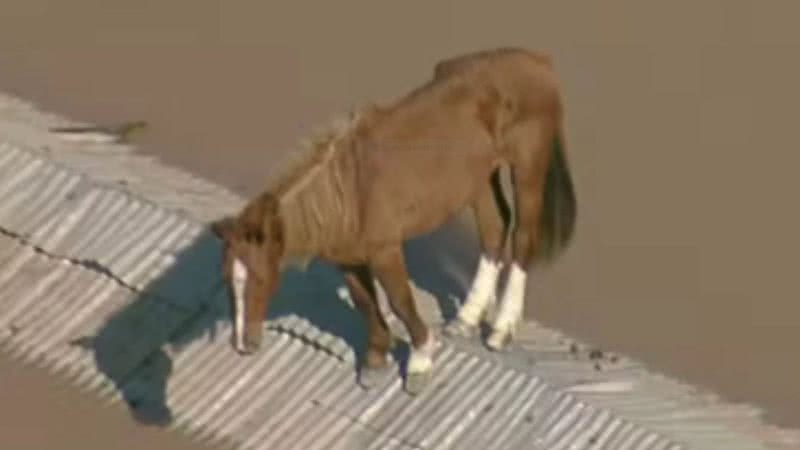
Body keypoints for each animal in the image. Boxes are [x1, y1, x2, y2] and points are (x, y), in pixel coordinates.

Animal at [210, 47, 577, 395]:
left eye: (259, 278)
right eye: (227, 280)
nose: (242, 345)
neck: (348, 193)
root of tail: (537, 60)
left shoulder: (386, 251)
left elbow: (400, 302)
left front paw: (419, 362)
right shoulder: (348, 259)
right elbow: (365, 304)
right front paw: (375, 362)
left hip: (527, 168)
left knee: (523, 238)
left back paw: (500, 330)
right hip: (479, 179)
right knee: (494, 229)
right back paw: (467, 319)